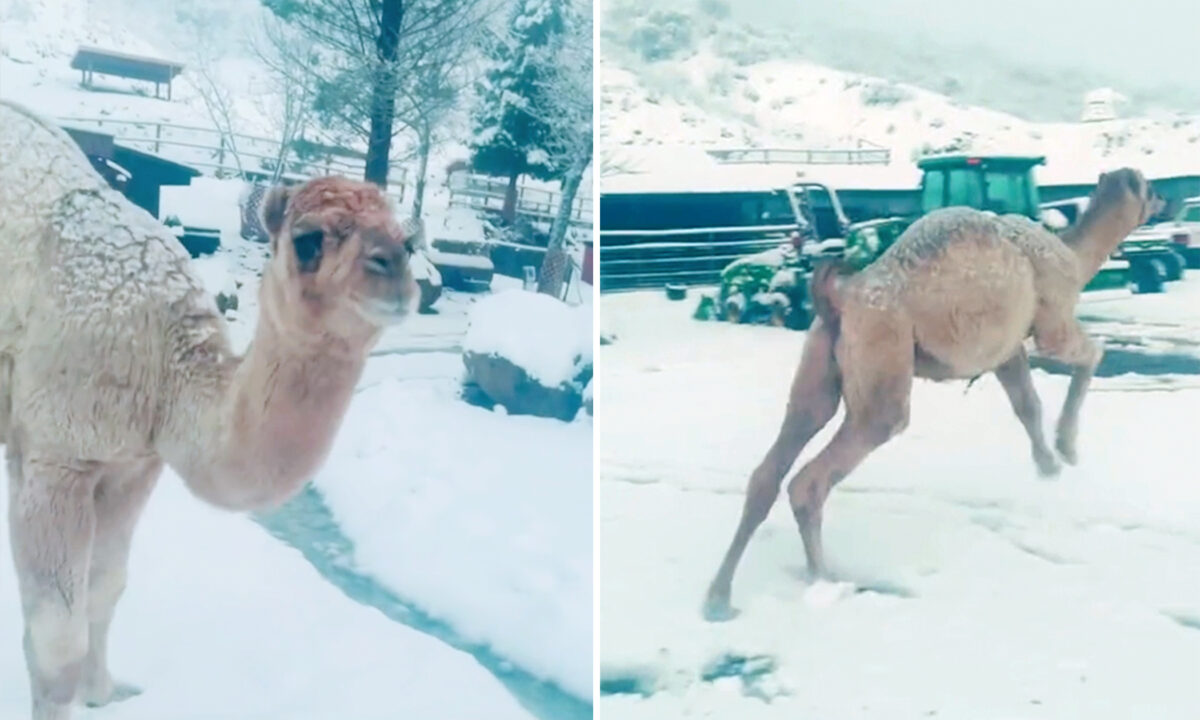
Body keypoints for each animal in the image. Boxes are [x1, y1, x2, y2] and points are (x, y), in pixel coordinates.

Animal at [0, 99, 417, 719]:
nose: (395, 273)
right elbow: (56, 639)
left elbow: (106, 588)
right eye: (308, 238)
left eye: (408, 240)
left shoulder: (133, 463)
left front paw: (105, 694)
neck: (165, 365)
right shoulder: (58, 455)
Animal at [703, 168, 1158, 621]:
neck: (1074, 257)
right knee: (817, 475)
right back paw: (824, 582)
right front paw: (1067, 450)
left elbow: (1026, 404)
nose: (1167, 203)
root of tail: (840, 300)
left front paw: (1049, 468)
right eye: (1149, 188)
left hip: (818, 368)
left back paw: (718, 598)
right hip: (883, 357)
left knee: (776, 460)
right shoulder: (1052, 320)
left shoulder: (1006, 348)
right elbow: (1091, 356)